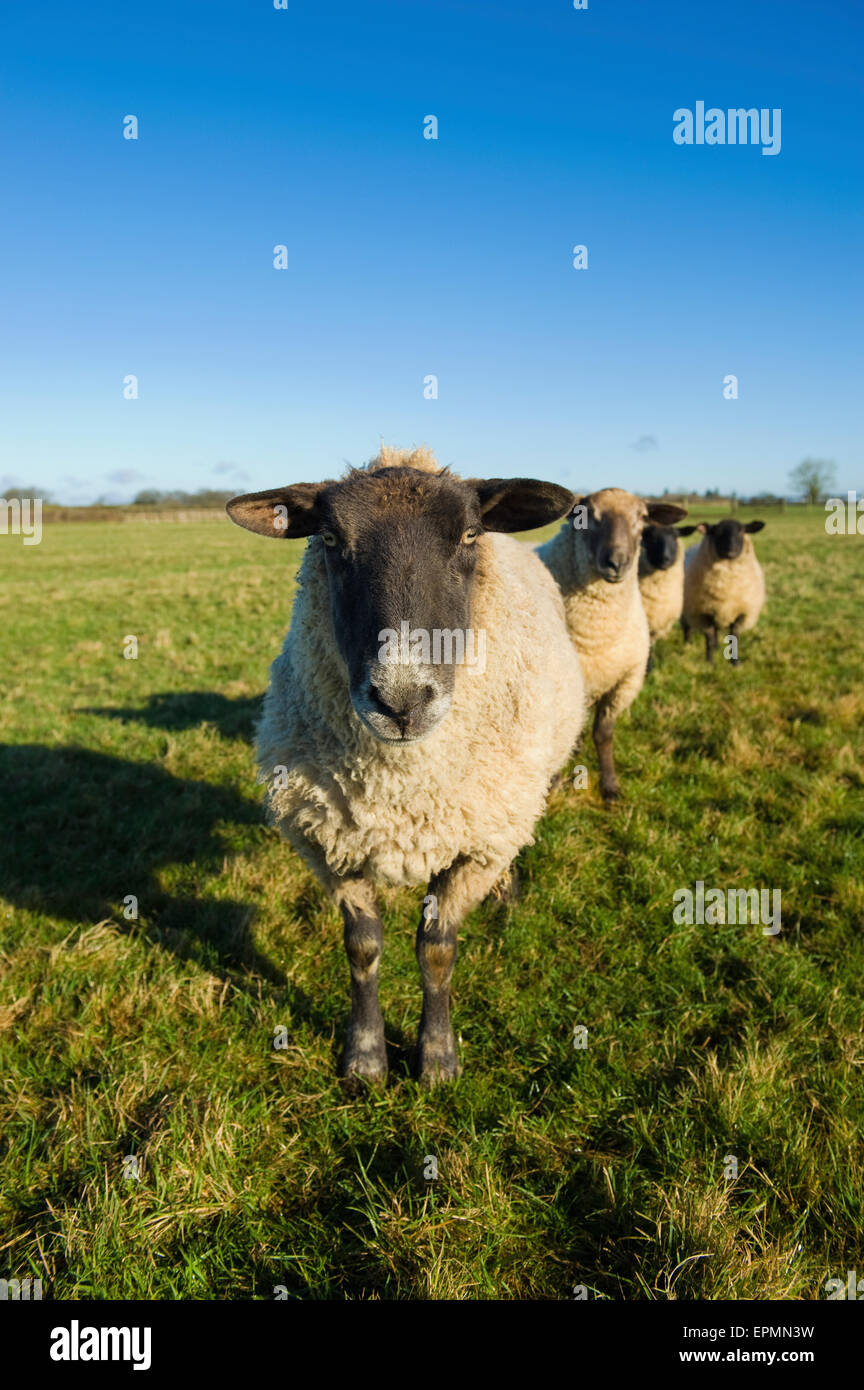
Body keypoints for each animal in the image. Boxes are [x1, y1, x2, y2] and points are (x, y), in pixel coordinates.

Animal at [226, 446, 585, 1086]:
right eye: (331, 539)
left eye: (469, 534)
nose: (401, 701)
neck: (399, 787)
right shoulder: (329, 841)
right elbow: (362, 948)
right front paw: (365, 1057)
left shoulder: (474, 845)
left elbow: (436, 950)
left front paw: (437, 1058)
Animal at [537, 489, 686, 801]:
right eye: (589, 516)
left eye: (642, 517)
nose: (617, 563)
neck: (598, 634)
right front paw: (554, 783)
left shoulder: (625, 681)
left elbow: (603, 735)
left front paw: (610, 785)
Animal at [682, 518, 766, 663]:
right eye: (716, 532)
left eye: (742, 531)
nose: (730, 551)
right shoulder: (703, 613)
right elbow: (709, 639)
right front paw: (710, 663)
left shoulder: (740, 613)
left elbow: (734, 636)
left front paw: (735, 663)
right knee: (687, 628)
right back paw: (688, 645)